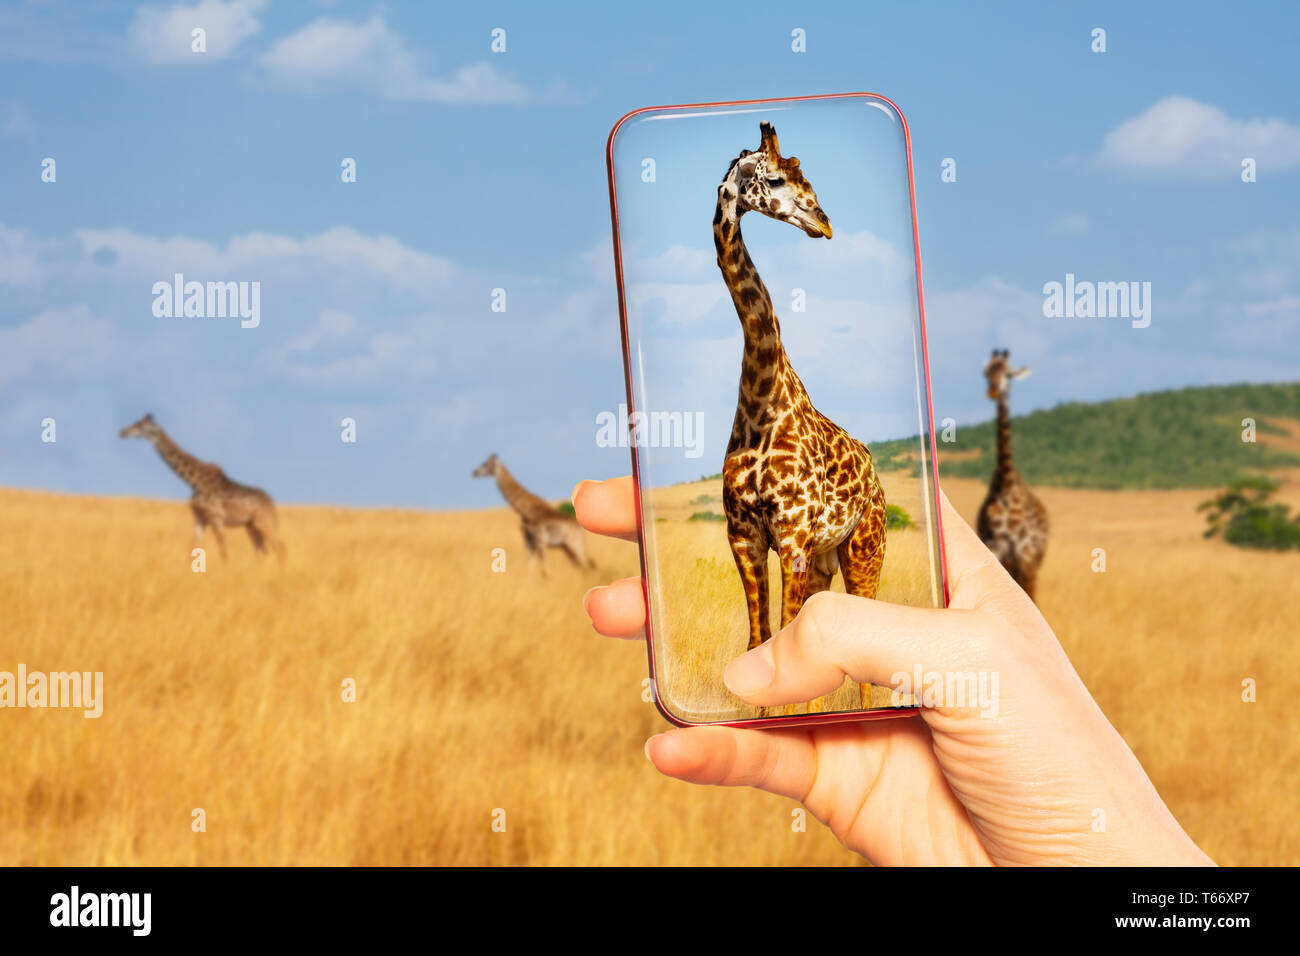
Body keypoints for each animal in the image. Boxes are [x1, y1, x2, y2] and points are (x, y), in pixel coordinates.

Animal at [119, 413, 284, 560]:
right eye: (136, 422)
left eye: (140, 426)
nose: (122, 432)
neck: (193, 481)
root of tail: (272, 504)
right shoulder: (200, 517)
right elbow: (193, 546)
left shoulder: (215, 516)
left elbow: (223, 550)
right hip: (251, 526)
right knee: (262, 552)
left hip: (264, 522)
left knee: (281, 549)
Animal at [715, 122, 888, 713]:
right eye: (774, 179)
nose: (825, 223)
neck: (760, 398)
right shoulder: (744, 535)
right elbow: (758, 642)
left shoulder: (790, 534)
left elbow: (782, 648)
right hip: (822, 559)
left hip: (864, 548)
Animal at [976, 349, 1049, 601]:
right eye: (986, 373)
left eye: (1008, 374)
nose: (992, 392)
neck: (1005, 484)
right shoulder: (995, 549)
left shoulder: (1025, 555)